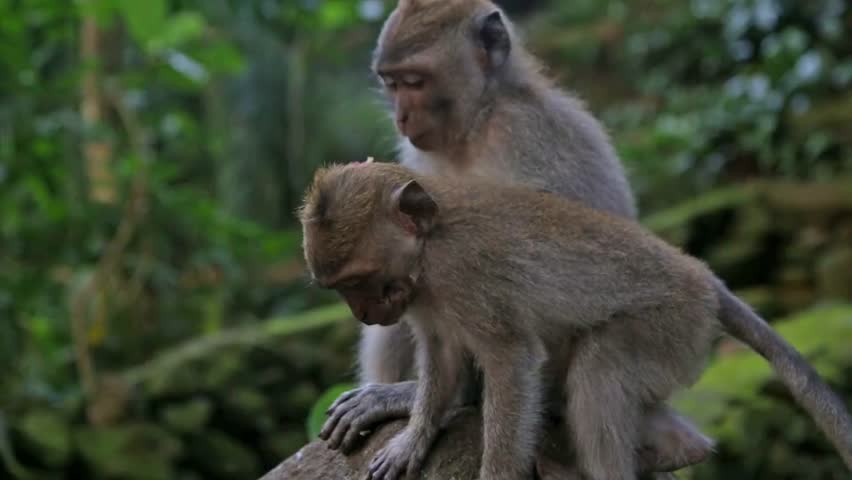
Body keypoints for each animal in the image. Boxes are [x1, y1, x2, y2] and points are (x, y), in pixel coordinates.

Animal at [301, 161, 852, 480]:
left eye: (361, 280)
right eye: (340, 289)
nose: (364, 312)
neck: (429, 249)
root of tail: (702, 275)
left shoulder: (465, 274)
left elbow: (511, 360)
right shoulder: (427, 301)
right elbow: (443, 356)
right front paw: (415, 436)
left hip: (676, 326)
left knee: (600, 366)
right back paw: (683, 450)